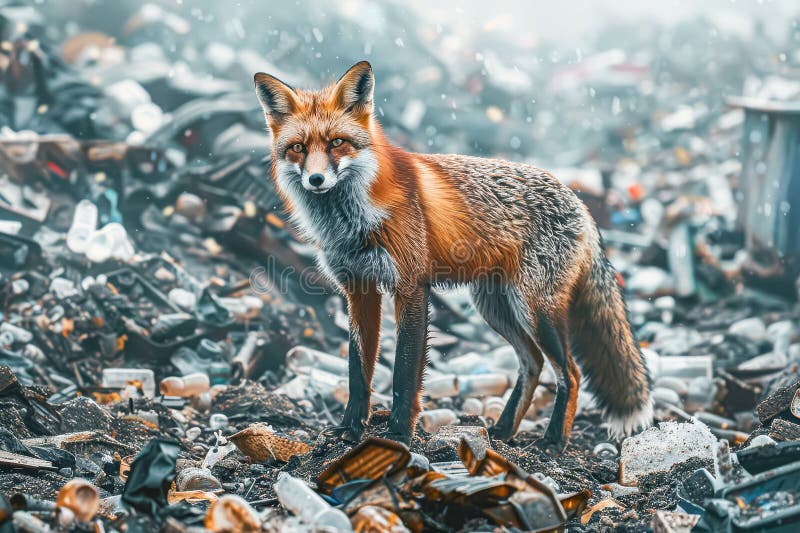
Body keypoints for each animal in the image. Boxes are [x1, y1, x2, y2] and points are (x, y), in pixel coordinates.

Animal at [253, 61, 653, 450]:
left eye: (337, 142)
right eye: (298, 148)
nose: (316, 180)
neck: (351, 222)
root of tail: (581, 203)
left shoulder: (411, 286)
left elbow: (404, 372)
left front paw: (399, 434)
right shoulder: (359, 289)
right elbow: (357, 370)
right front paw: (349, 430)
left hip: (533, 309)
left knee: (570, 372)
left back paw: (554, 441)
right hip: (496, 308)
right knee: (533, 364)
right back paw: (502, 431)